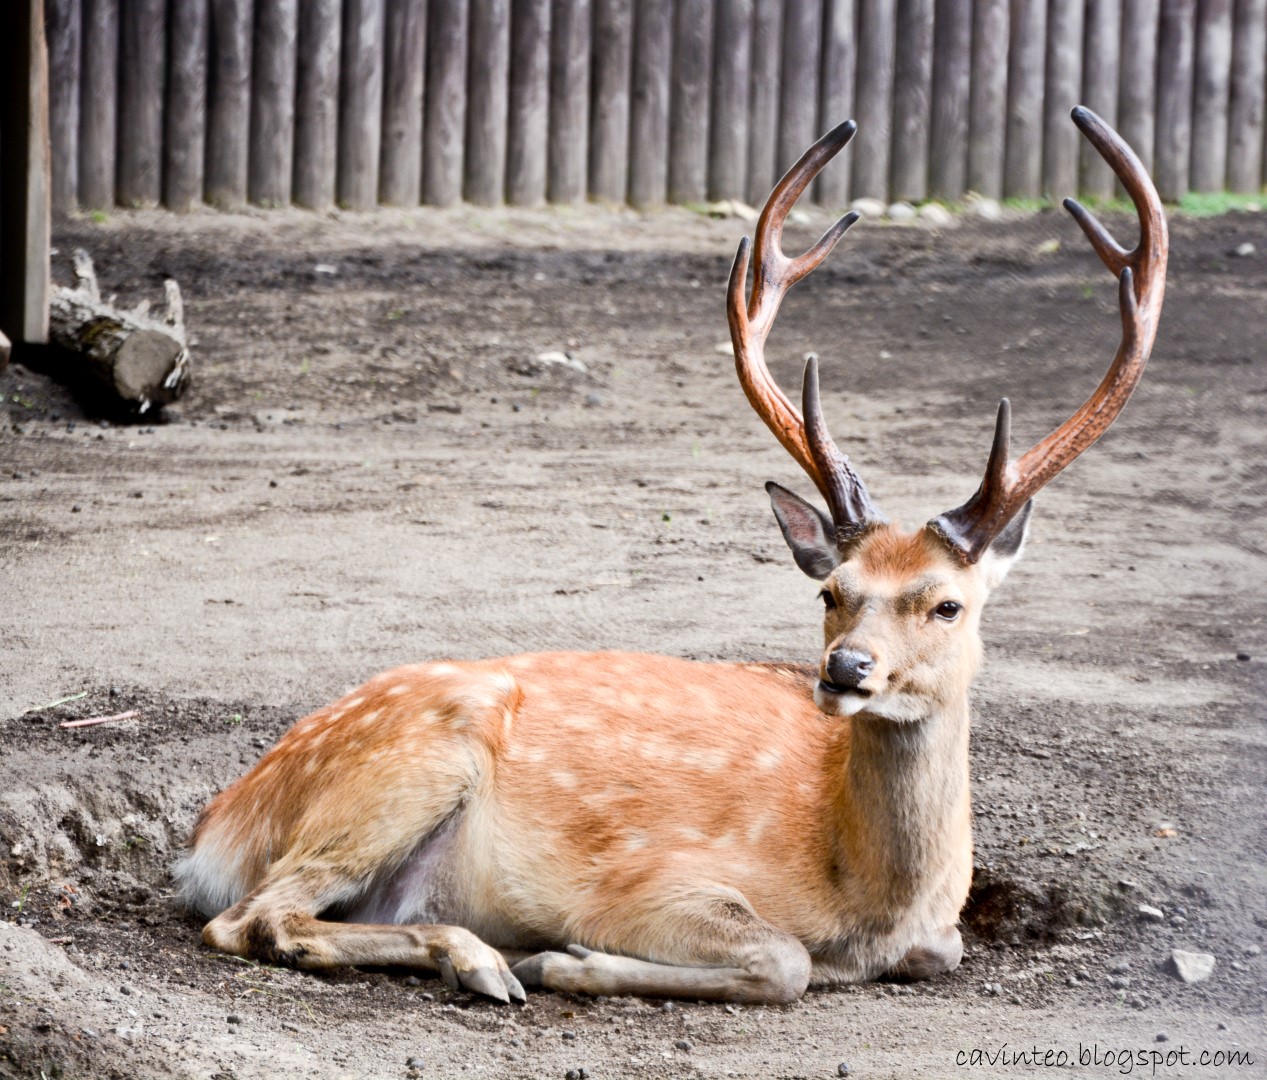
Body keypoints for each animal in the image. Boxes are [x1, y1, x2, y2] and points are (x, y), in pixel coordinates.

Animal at [175, 107, 1167, 1005]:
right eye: (832, 593)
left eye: (946, 602)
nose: (844, 670)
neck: (868, 901)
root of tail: (220, 822)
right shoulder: (644, 881)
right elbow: (784, 960)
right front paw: (564, 960)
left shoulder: (935, 935)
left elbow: (935, 951)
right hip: (406, 767)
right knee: (251, 918)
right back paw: (486, 960)